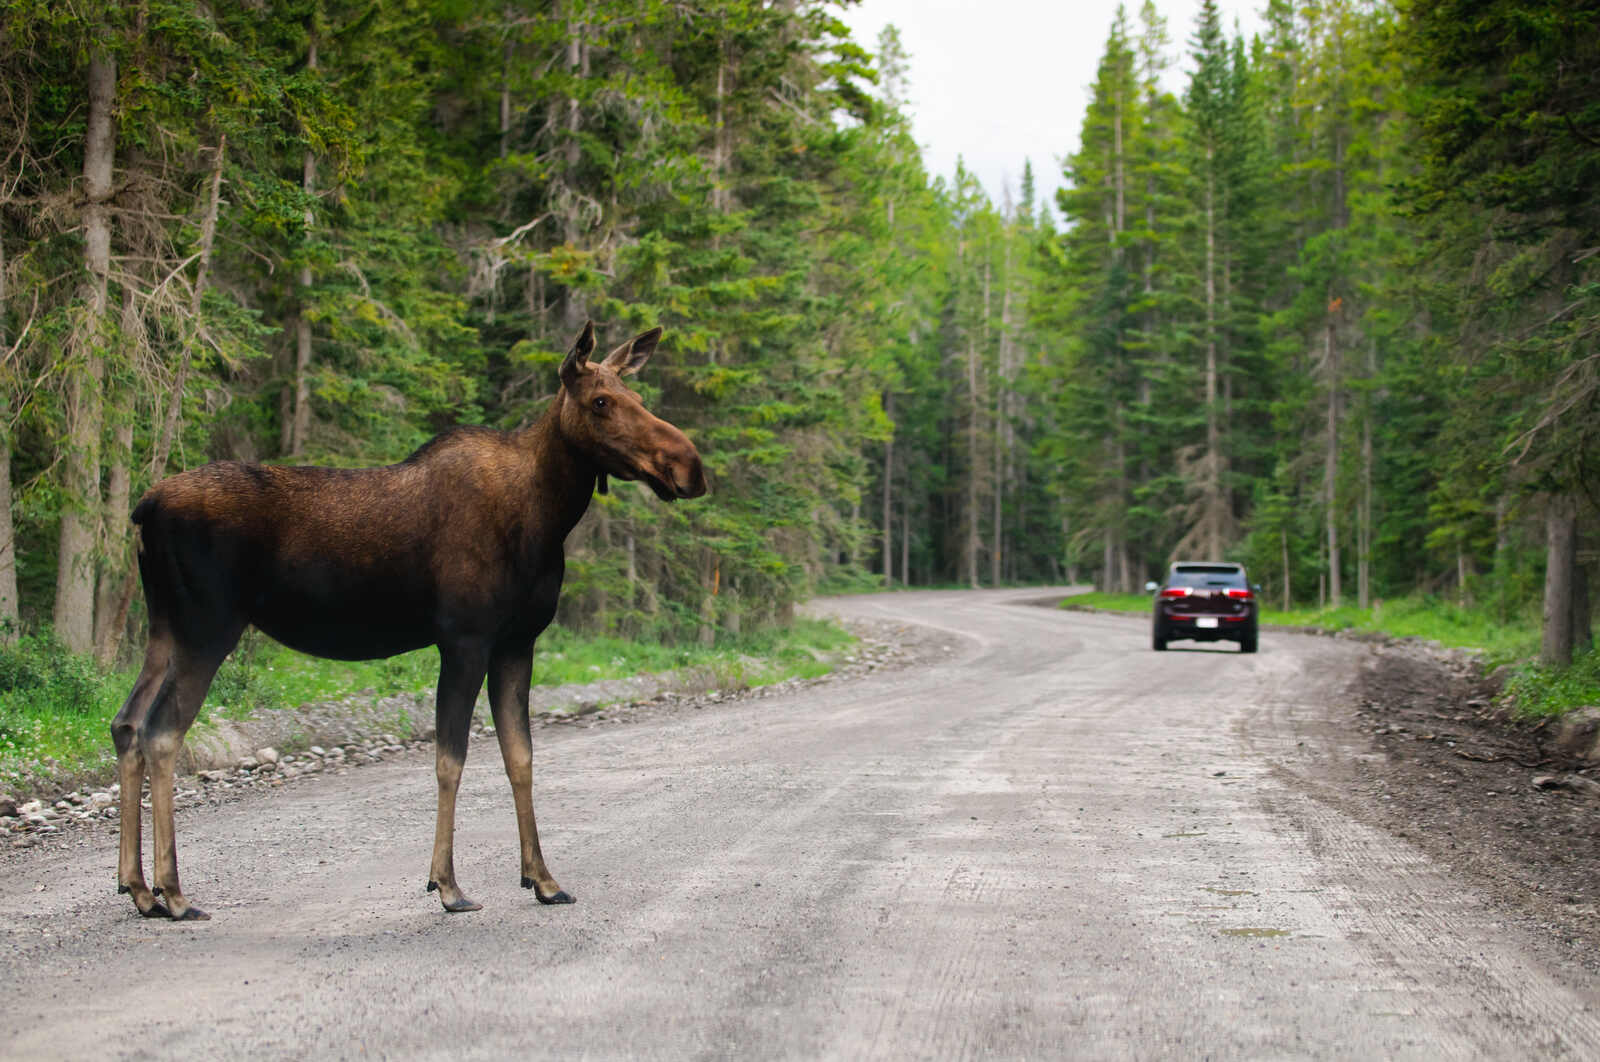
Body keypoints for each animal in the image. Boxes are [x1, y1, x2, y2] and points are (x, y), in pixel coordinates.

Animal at [110, 322, 706, 919]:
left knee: (127, 724)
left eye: (638, 396)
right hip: (207, 627)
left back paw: (137, 888)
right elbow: (450, 760)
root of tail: (144, 510)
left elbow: (521, 758)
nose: (690, 467)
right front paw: (447, 884)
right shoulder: (465, 639)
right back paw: (174, 891)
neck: (547, 514)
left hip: (163, 630)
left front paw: (542, 878)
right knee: (162, 733)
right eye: (601, 401)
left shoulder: (517, 642)